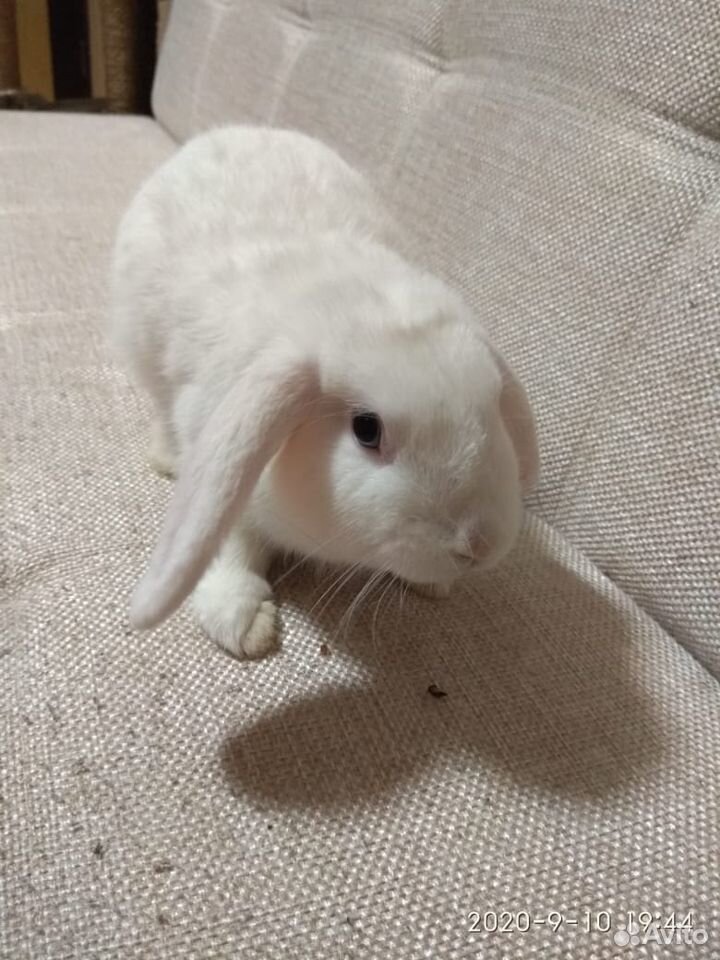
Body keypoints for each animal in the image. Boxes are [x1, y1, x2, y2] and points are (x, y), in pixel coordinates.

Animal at [110, 125, 538, 659]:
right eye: (366, 429)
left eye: (492, 408)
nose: (478, 545)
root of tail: (231, 132)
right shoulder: (226, 467)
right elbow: (228, 540)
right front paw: (243, 625)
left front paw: (434, 585)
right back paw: (168, 461)